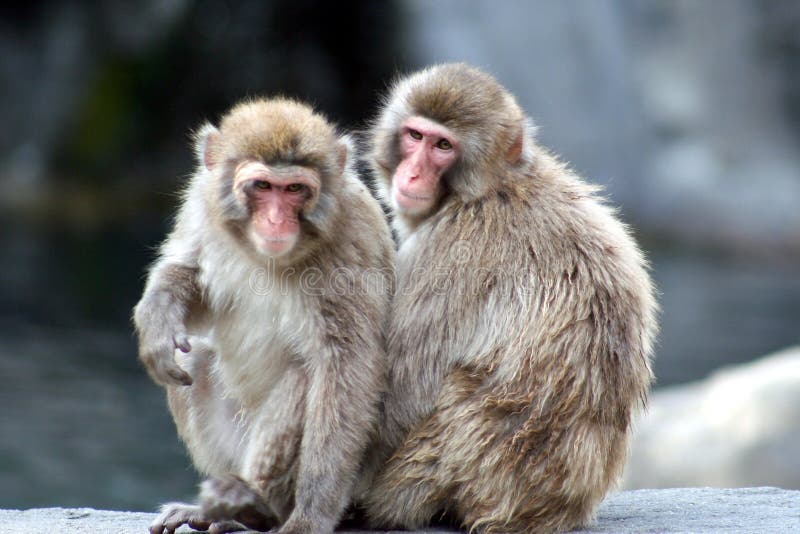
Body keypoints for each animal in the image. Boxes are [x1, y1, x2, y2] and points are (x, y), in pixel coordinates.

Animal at [133, 97, 394, 534]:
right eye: (262, 186)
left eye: (295, 189)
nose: (275, 220)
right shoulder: (201, 202)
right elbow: (195, 283)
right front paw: (158, 312)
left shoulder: (350, 240)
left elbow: (346, 366)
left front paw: (312, 515)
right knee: (195, 357)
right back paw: (217, 508)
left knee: (304, 376)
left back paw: (255, 509)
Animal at [358, 63, 658, 533]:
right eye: (414, 135)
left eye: (443, 146)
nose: (412, 175)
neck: (495, 185)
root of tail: (553, 513)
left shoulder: (451, 247)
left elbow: (399, 396)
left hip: (439, 468)